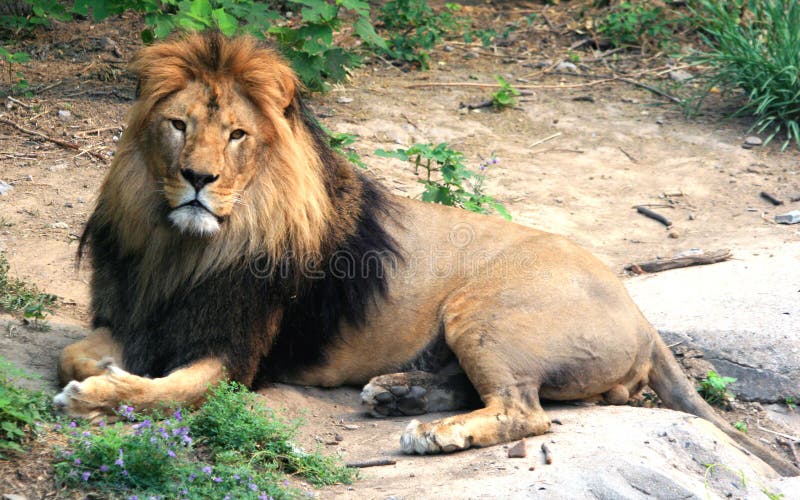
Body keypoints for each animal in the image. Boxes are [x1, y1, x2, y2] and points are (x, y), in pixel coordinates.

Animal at [54, 32, 796, 476]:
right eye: (177, 125)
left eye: (237, 135)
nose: (198, 180)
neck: (181, 248)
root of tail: (642, 316)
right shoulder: (138, 316)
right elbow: (79, 351)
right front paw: (107, 367)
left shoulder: (235, 358)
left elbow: (163, 392)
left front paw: (97, 394)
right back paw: (395, 394)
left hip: (484, 310)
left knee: (524, 410)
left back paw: (431, 433)